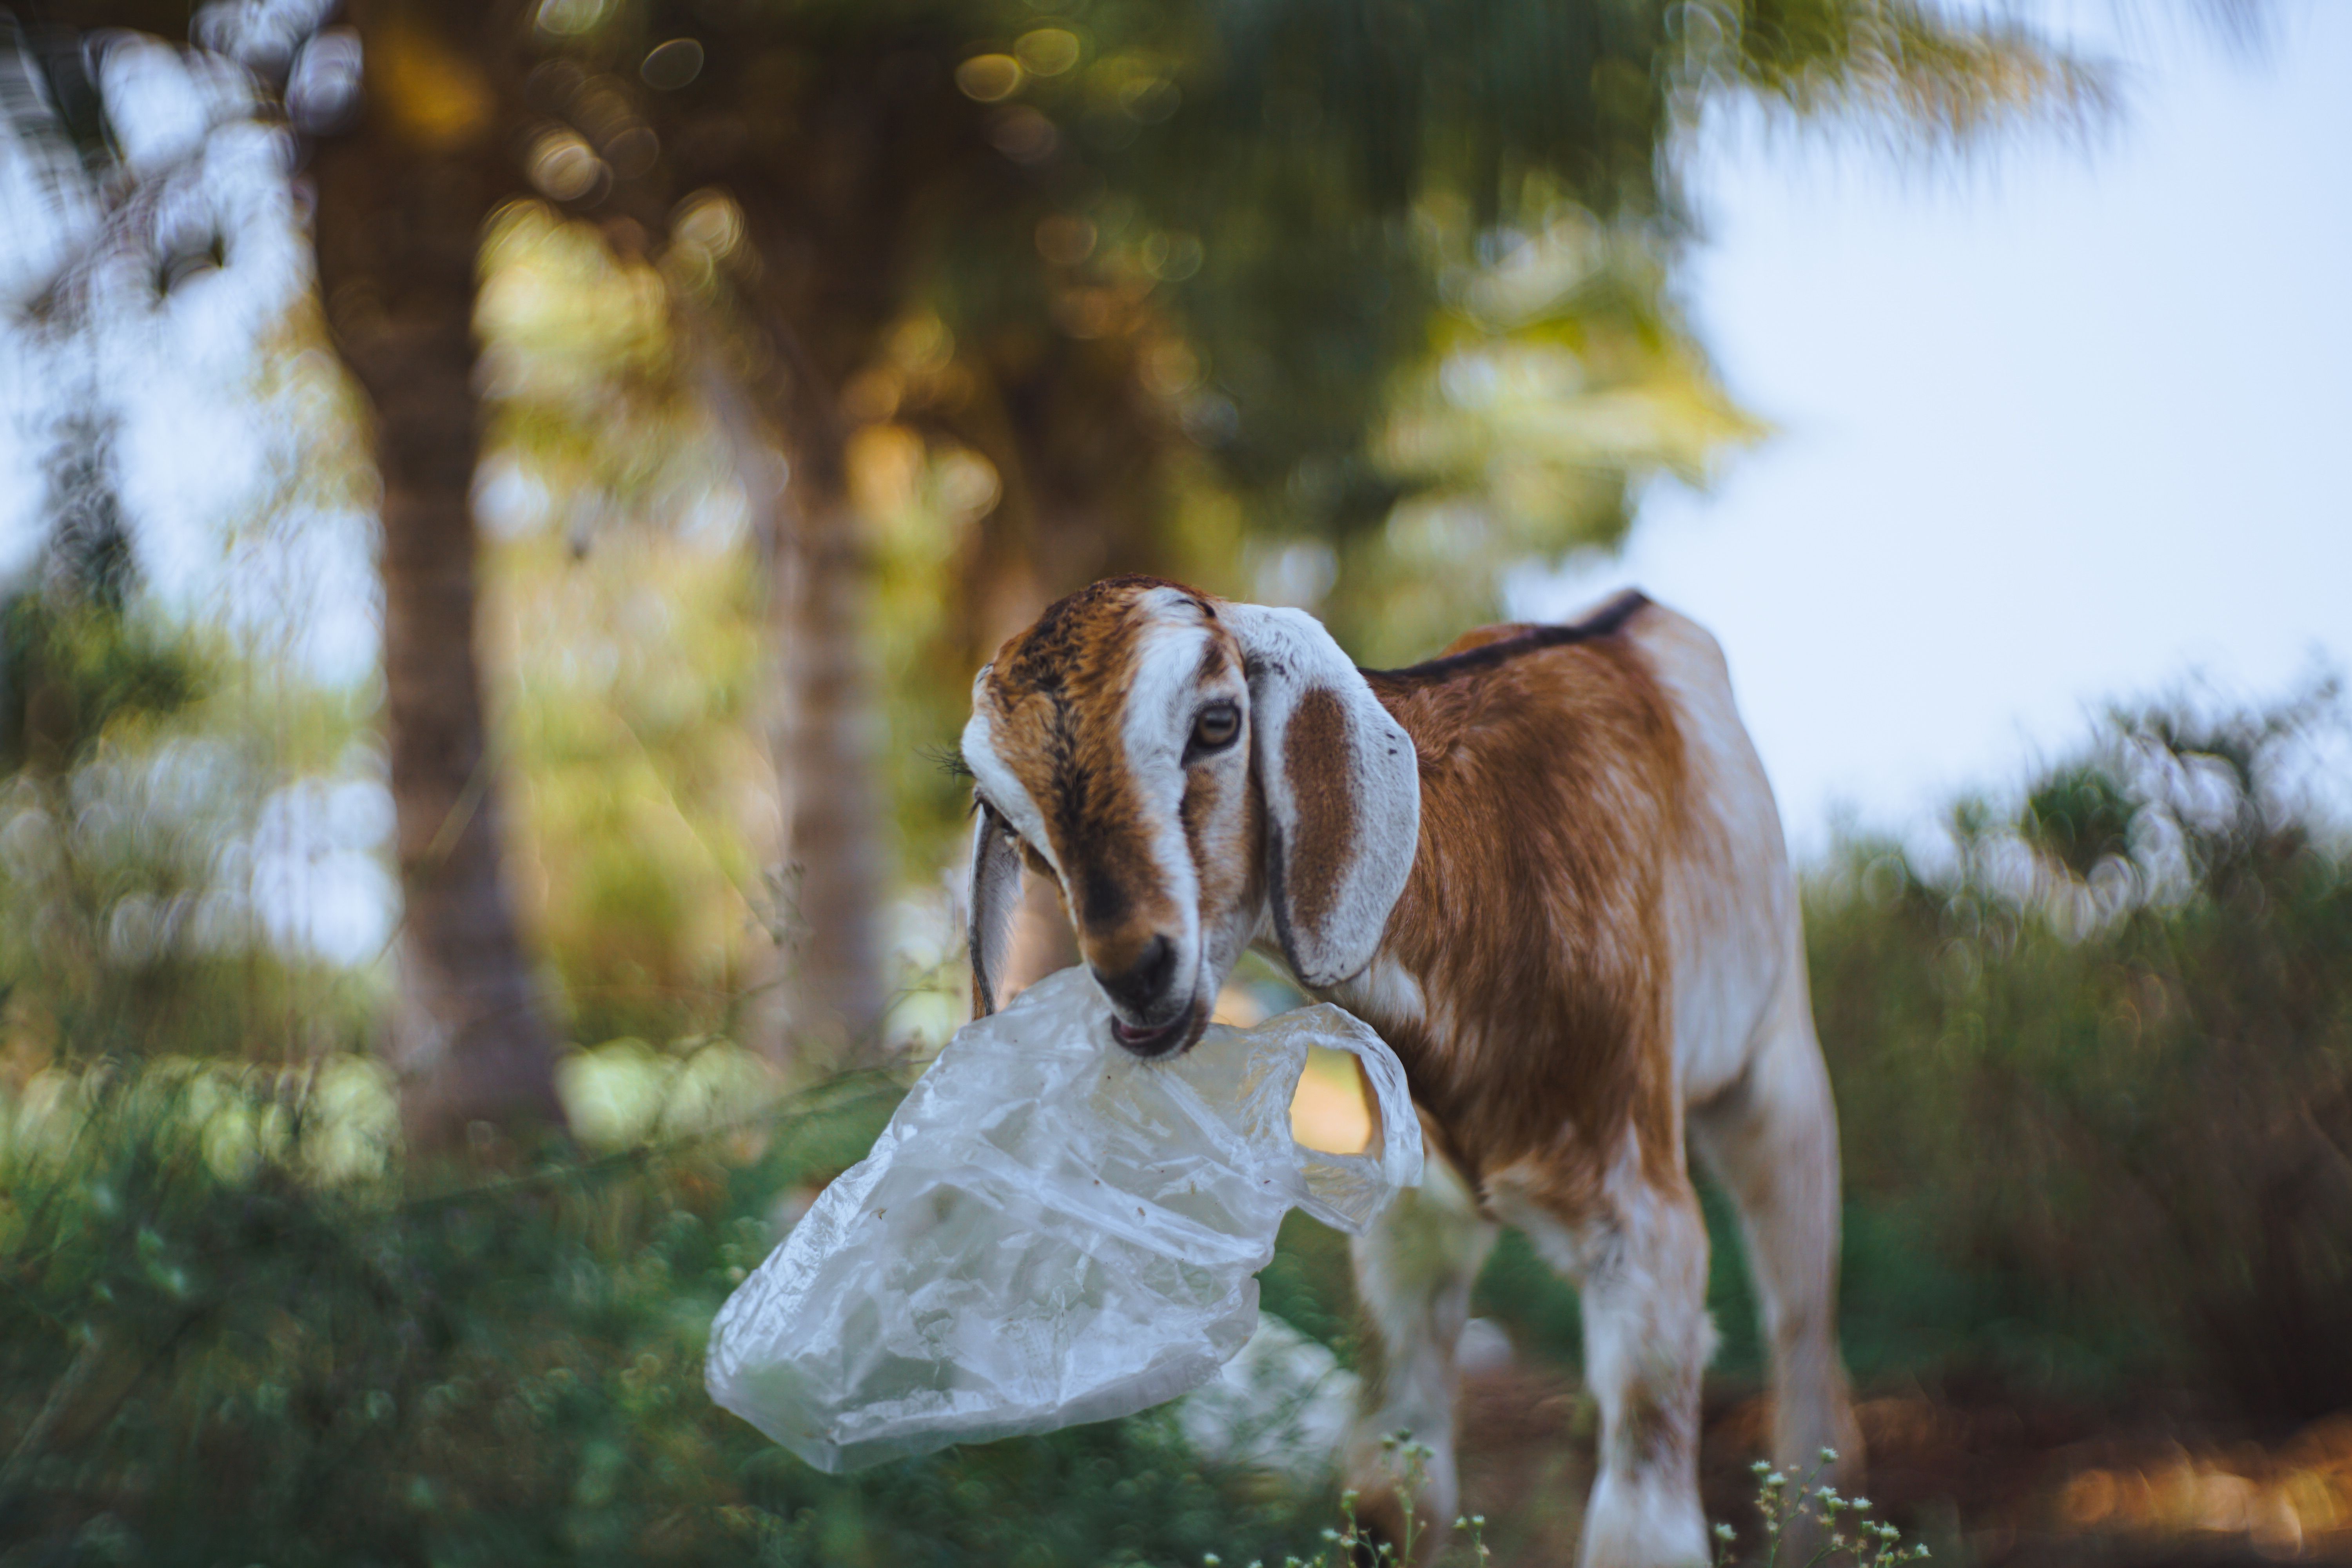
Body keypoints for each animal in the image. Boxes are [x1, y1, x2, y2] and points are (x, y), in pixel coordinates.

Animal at [960, 576, 1858, 1565]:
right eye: (1004, 804)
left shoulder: (1646, 1227)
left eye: (1217, 721)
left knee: (1804, 1346)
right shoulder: (1409, 1224)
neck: (1494, 874)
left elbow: (1641, 1531)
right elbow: (1394, 1490)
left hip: (1778, 1079)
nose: (1136, 972)